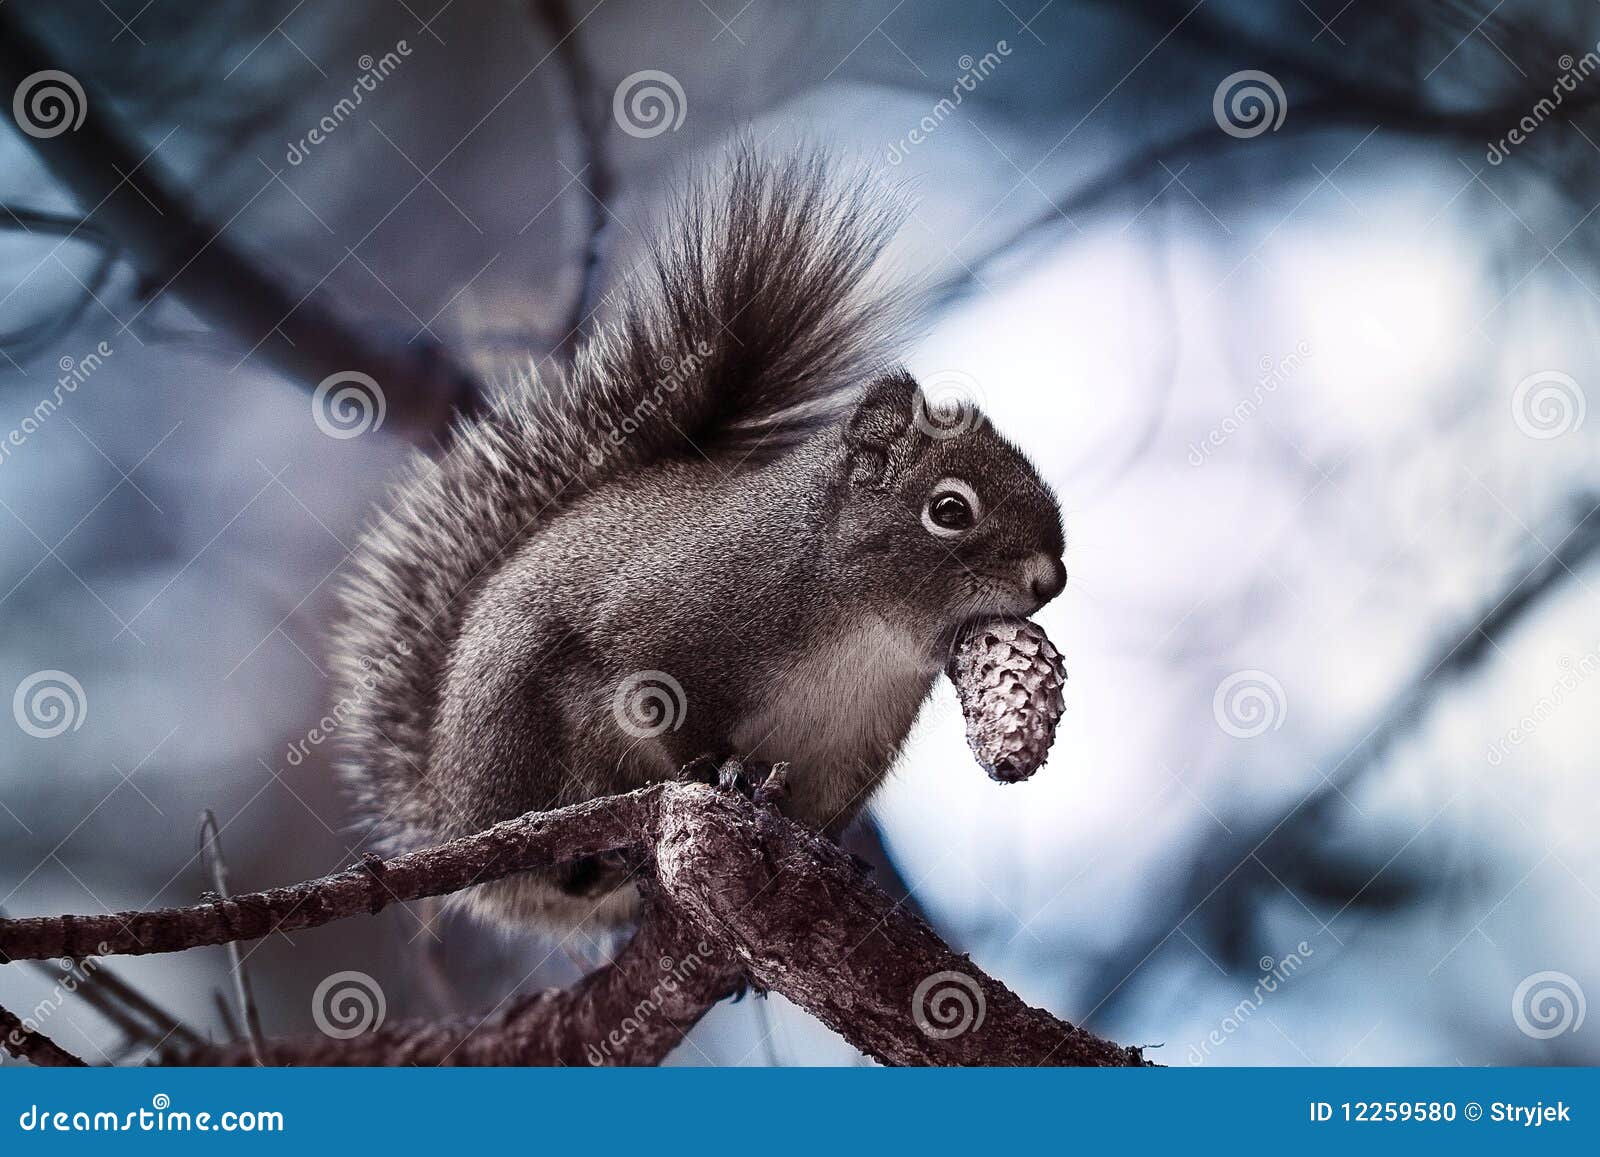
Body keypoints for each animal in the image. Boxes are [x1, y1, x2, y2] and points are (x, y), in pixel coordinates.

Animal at [329, 148, 1067, 934]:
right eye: (950, 510)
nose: (1051, 579)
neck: (862, 626)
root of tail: (452, 805)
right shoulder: (672, 630)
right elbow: (670, 705)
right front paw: (720, 770)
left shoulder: (851, 751)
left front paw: (830, 857)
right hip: (531, 743)